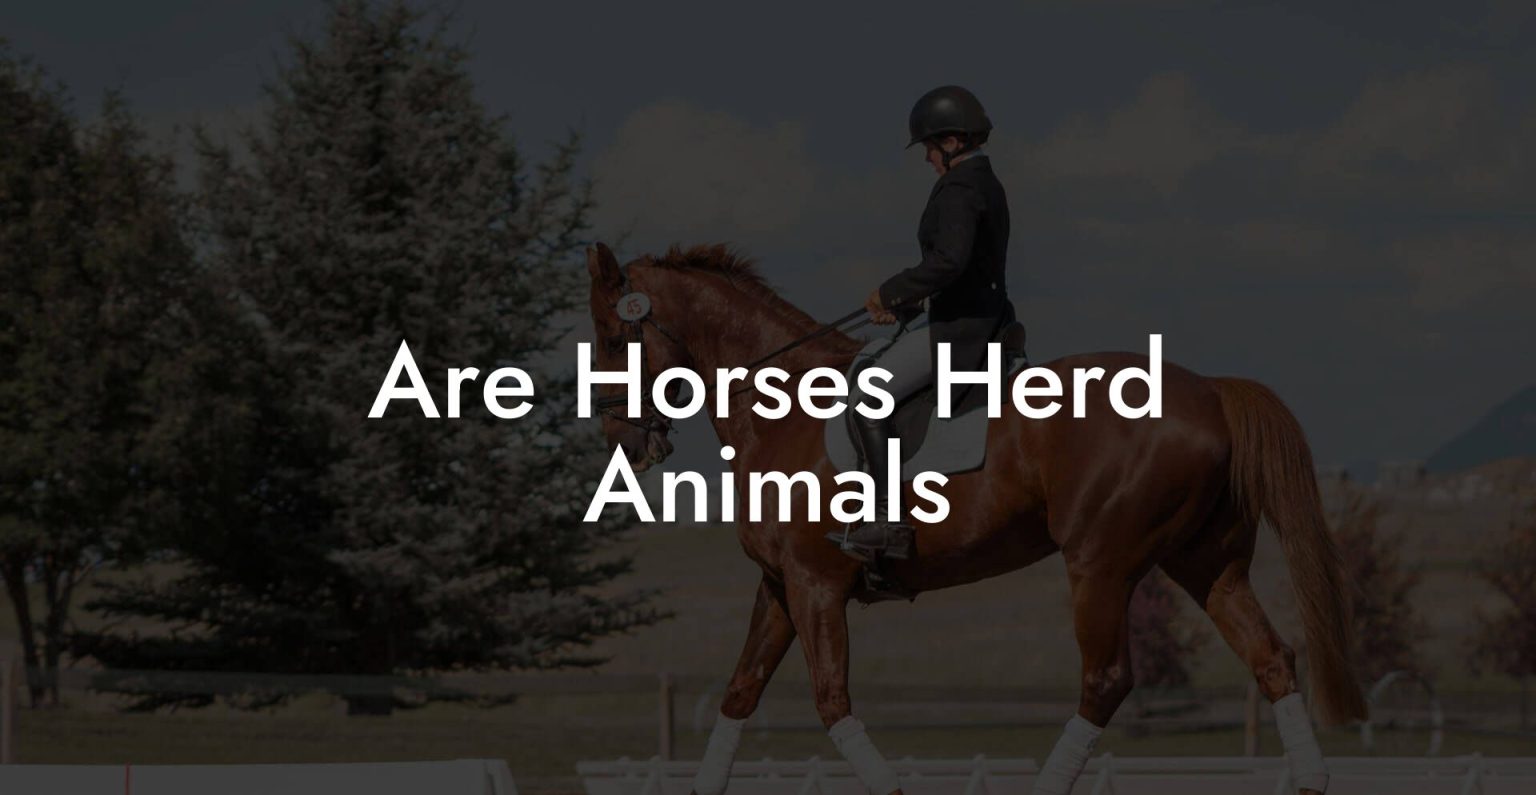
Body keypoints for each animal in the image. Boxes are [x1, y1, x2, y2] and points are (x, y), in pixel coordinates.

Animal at [584, 242, 1366, 795]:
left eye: (615, 338)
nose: (622, 439)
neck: (781, 407)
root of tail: (1209, 389)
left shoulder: (816, 586)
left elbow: (832, 701)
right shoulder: (781, 586)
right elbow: (741, 691)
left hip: (1101, 563)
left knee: (1106, 680)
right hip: (1207, 562)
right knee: (1271, 657)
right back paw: (1310, 779)